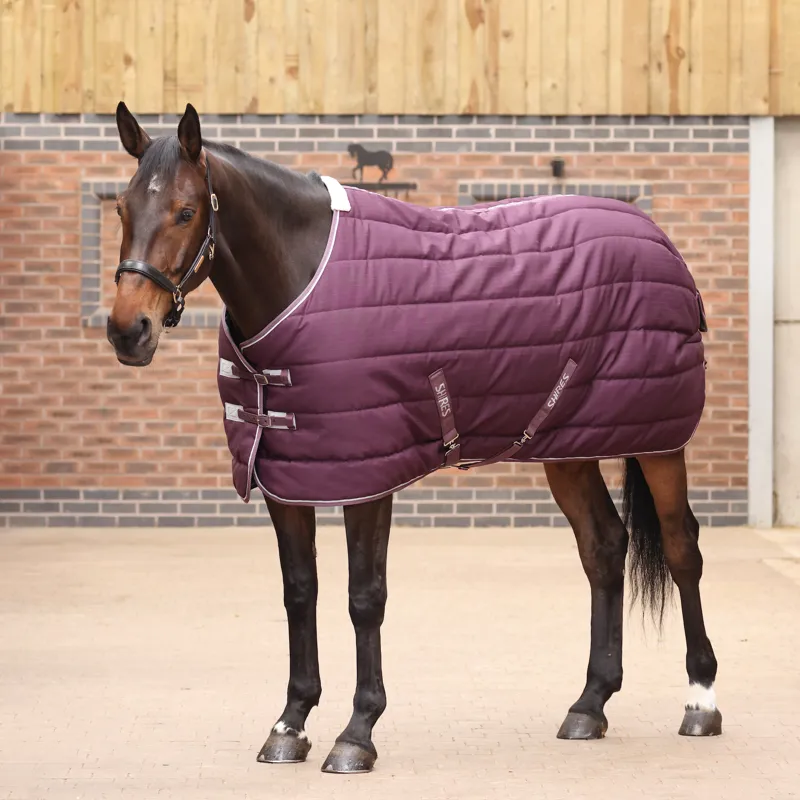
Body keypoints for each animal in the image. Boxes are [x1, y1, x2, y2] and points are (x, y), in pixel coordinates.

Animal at [107, 102, 721, 774]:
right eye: (123, 208)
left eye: (186, 211)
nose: (128, 330)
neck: (304, 279)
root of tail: (659, 240)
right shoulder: (287, 477)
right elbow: (300, 592)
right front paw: (290, 723)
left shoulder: (368, 477)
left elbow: (363, 597)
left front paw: (357, 733)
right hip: (567, 447)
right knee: (605, 548)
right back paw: (589, 704)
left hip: (660, 442)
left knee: (681, 547)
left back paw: (700, 701)